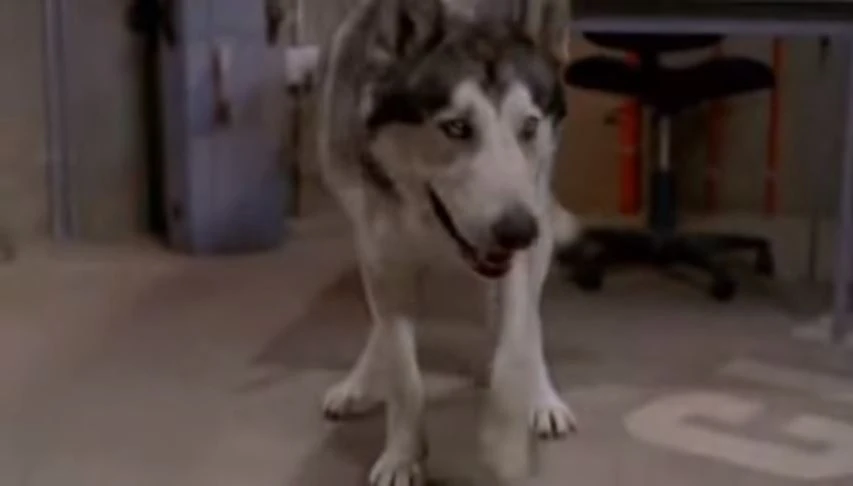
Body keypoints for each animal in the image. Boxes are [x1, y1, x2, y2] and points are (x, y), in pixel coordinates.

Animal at [315, 0, 578, 483]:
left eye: (529, 126)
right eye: (456, 127)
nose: (518, 231)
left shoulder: (521, 249)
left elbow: (516, 349)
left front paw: (504, 449)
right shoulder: (383, 259)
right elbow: (403, 372)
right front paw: (402, 456)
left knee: (527, 320)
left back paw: (541, 397)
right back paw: (359, 384)